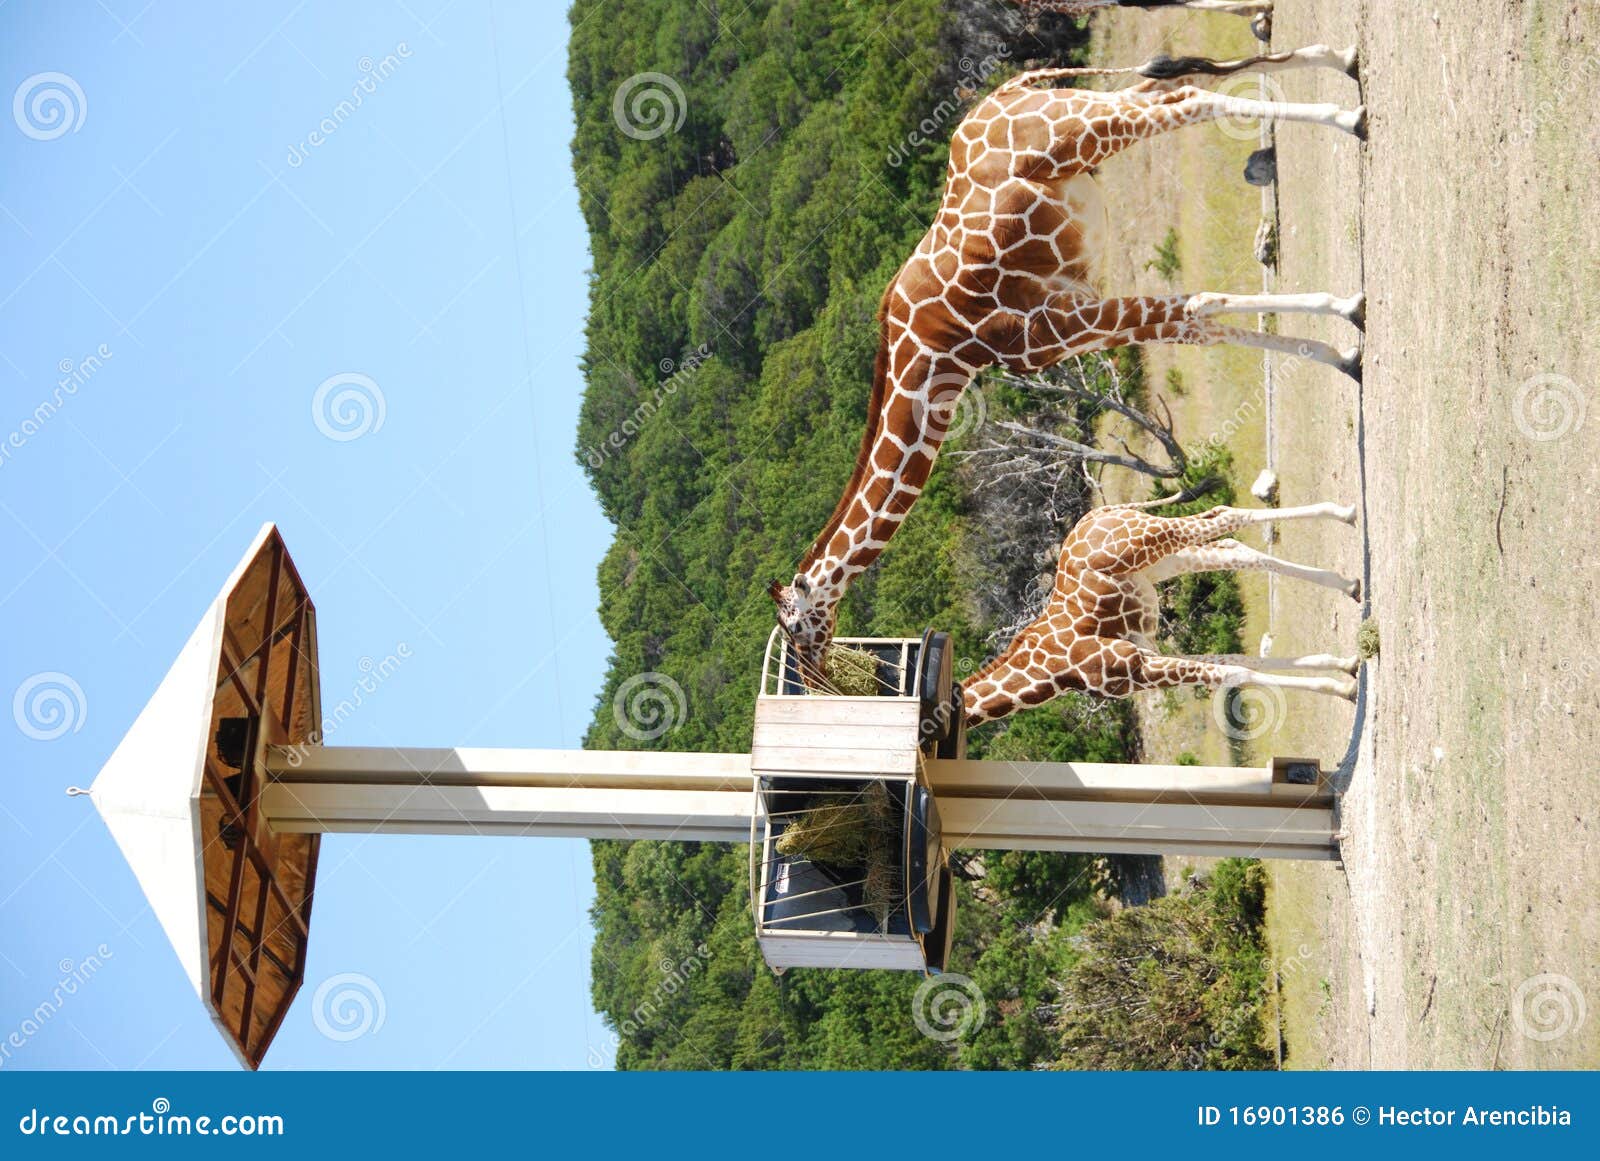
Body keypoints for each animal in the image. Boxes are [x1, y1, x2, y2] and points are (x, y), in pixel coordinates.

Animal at [771, 44, 1365, 684]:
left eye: (795, 629)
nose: (822, 679)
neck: (939, 353)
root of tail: (1004, 93)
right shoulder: (1071, 329)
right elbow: (1198, 325)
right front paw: (1342, 350)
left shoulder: (1059, 322)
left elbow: (1200, 307)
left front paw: (1349, 318)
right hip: (1089, 114)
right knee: (1179, 82)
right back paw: (1342, 63)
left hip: (1081, 132)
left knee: (1191, 98)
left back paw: (1349, 116)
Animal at [963, 498, 1362, 725]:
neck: (1050, 676)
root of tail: (1099, 512)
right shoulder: (1147, 656)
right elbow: (1242, 662)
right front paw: (1344, 667)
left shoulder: (1137, 668)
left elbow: (1236, 672)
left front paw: (1343, 690)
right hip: (1161, 560)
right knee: (1234, 545)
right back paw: (1349, 584)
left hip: (1151, 537)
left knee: (1229, 516)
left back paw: (1346, 512)